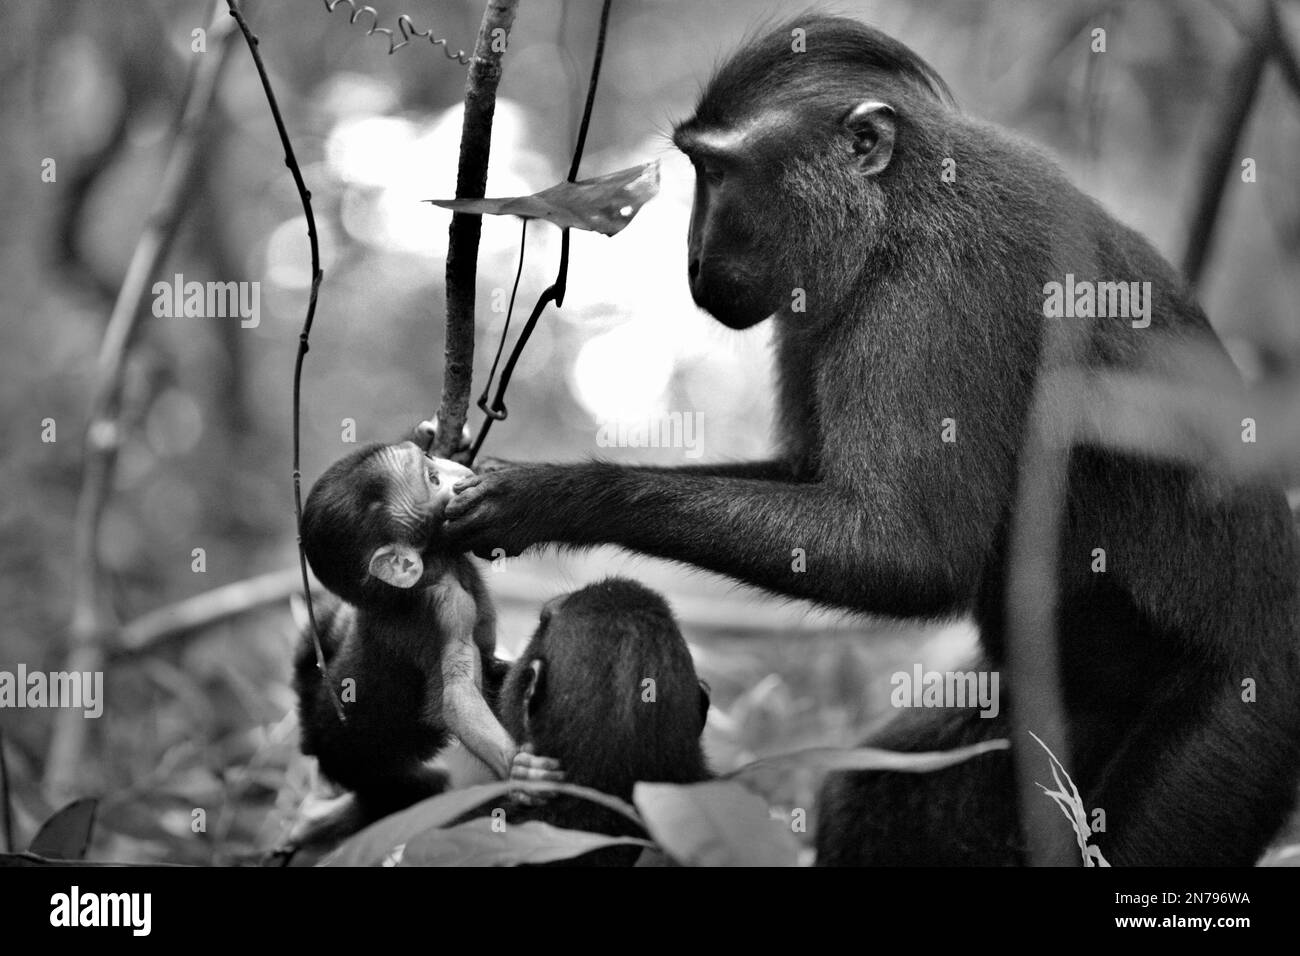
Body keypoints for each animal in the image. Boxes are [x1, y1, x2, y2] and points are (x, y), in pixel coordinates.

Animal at [441, 15, 1300, 865]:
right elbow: (808, 474)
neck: (895, 203)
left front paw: (553, 497)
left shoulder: (939, 284)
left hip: (1248, 714)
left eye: (716, 173)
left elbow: (903, 551)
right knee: (877, 792)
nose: (692, 260)